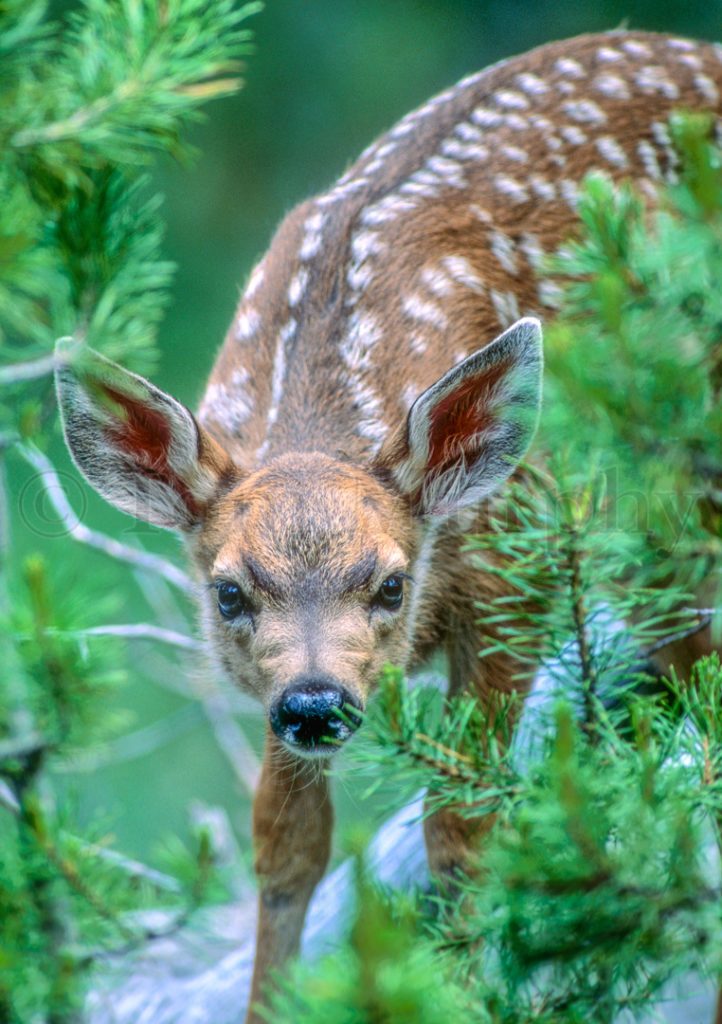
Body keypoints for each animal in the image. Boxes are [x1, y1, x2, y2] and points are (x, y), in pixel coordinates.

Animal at [55, 29, 722, 1023]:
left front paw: (470, 984)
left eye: (391, 583)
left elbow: (463, 829)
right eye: (228, 592)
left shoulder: (515, 578)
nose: (316, 705)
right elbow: (286, 843)